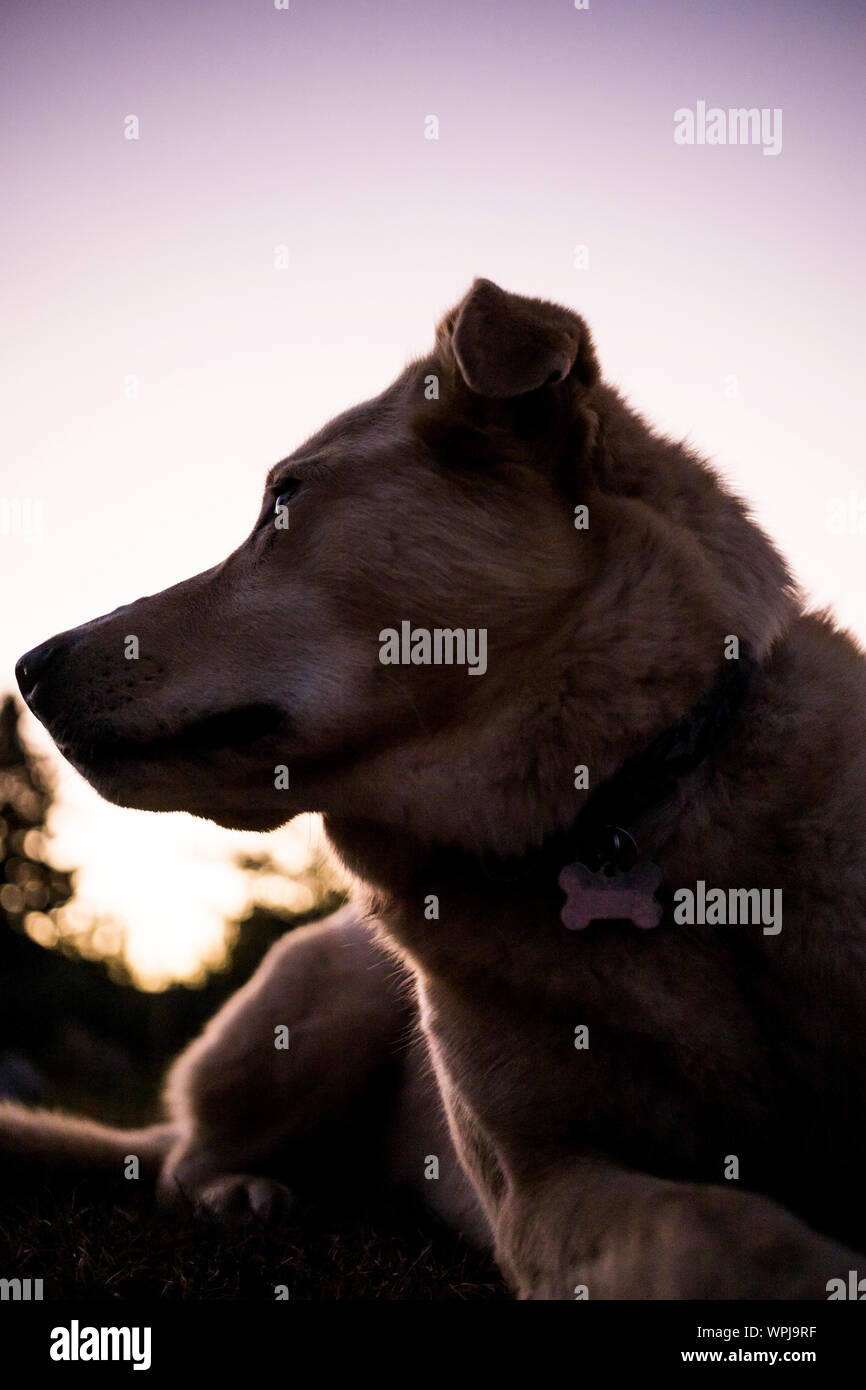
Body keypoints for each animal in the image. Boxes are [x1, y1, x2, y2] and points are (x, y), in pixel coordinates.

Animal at [3, 276, 861, 1295]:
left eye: (284, 499)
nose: (28, 667)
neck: (611, 816)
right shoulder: (543, 1188)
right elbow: (711, 1224)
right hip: (318, 1010)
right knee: (180, 1160)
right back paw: (243, 1193)